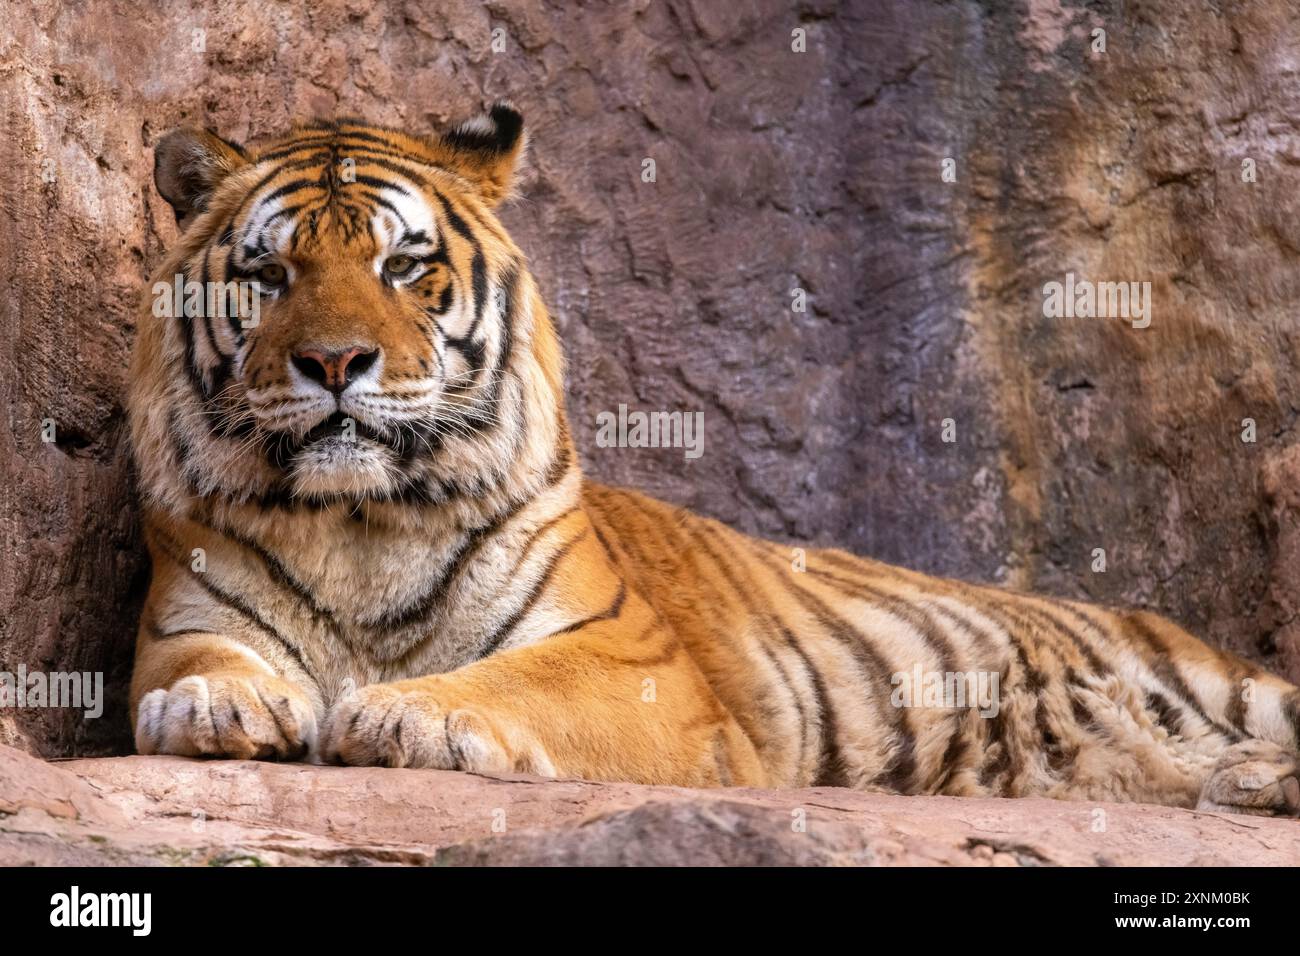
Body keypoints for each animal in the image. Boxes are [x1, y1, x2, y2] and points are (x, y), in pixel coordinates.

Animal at [127, 101, 1300, 816]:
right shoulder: (182, 618)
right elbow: (195, 669)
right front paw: (222, 707)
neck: (359, 518)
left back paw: (1250, 779)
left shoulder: (632, 662)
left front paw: (403, 709)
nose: (334, 361)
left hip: (1218, 683)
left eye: (404, 266)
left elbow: (514, 681)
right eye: (269, 275)